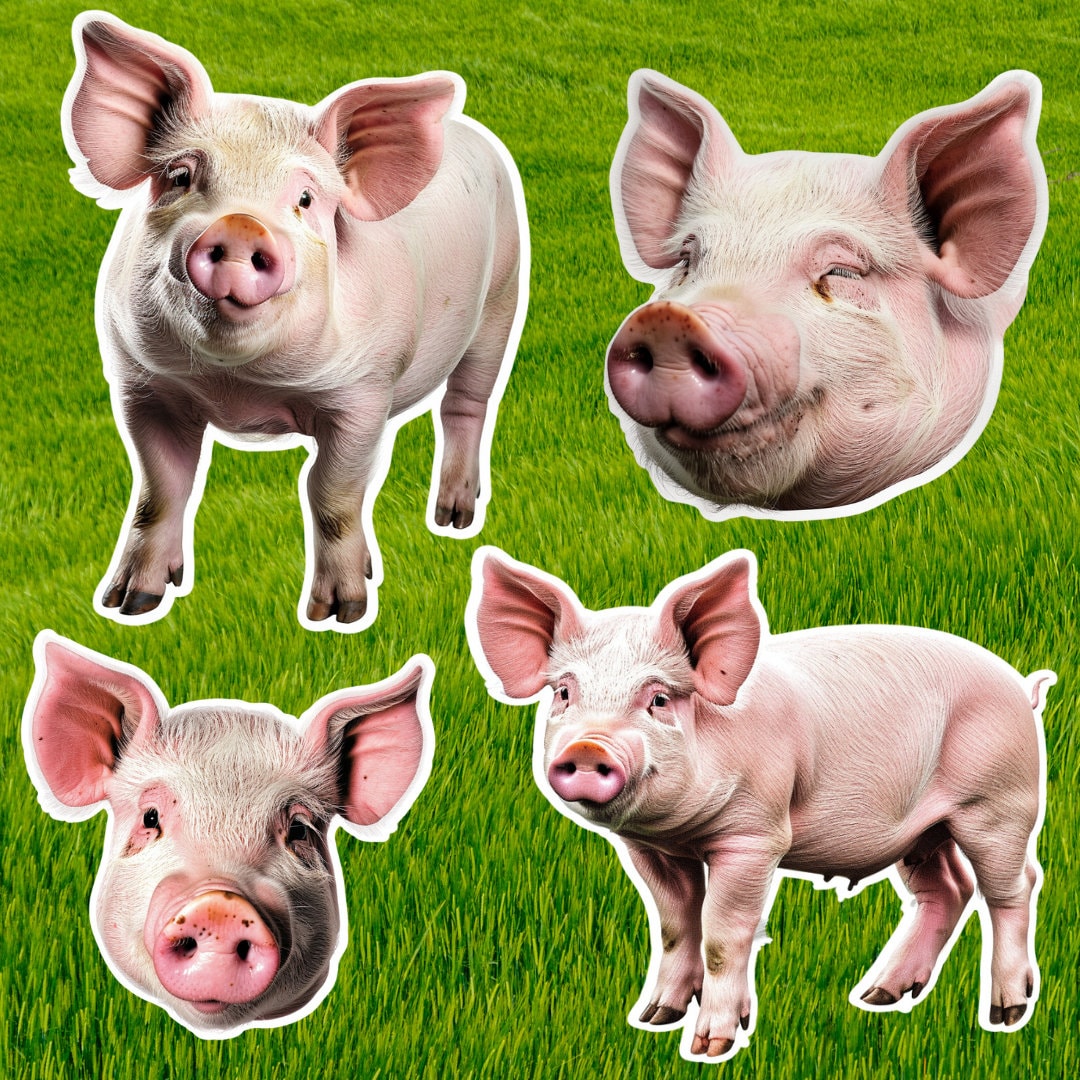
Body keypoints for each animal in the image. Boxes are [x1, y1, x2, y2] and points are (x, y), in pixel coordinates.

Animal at [62, 12, 528, 630]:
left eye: (306, 198)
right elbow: (159, 490)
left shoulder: (362, 391)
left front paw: (340, 615)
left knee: (468, 405)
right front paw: (130, 604)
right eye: (181, 177)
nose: (240, 225)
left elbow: (332, 496)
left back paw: (452, 519)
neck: (238, 386)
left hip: (501, 297)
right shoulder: (143, 384)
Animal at [467, 547, 1053, 1061]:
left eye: (658, 699)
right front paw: (655, 1018)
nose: (589, 748)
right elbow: (676, 925)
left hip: (997, 803)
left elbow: (723, 935)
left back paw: (1005, 1012)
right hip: (925, 827)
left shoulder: (754, 836)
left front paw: (710, 1047)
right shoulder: (649, 849)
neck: (683, 834)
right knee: (948, 889)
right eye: (564, 694)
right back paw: (877, 996)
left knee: (1012, 888)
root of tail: (1020, 687)